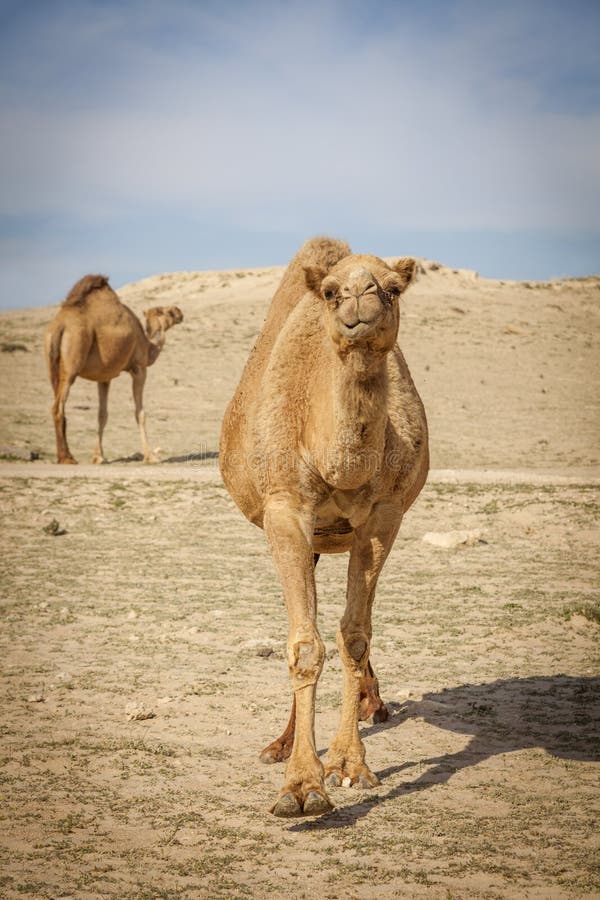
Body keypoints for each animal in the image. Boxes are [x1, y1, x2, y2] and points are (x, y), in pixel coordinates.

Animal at [44, 274, 183, 464]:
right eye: (168, 312)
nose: (179, 312)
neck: (148, 346)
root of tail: (60, 326)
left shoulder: (104, 377)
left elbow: (102, 415)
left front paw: (98, 457)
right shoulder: (139, 368)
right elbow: (140, 413)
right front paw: (150, 456)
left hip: (52, 367)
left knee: (59, 406)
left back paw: (64, 455)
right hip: (73, 360)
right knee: (58, 407)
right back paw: (67, 458)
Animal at [220, 237, 429, 817]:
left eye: (393, 287)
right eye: (333, 291)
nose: (359, 295)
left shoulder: (384, 515)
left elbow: (353, 637)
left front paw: (348, 765)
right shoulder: (286, 509)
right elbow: (305, 646)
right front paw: (300, 787)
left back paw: (371, 707)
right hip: (305, 536)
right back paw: (283, 743)